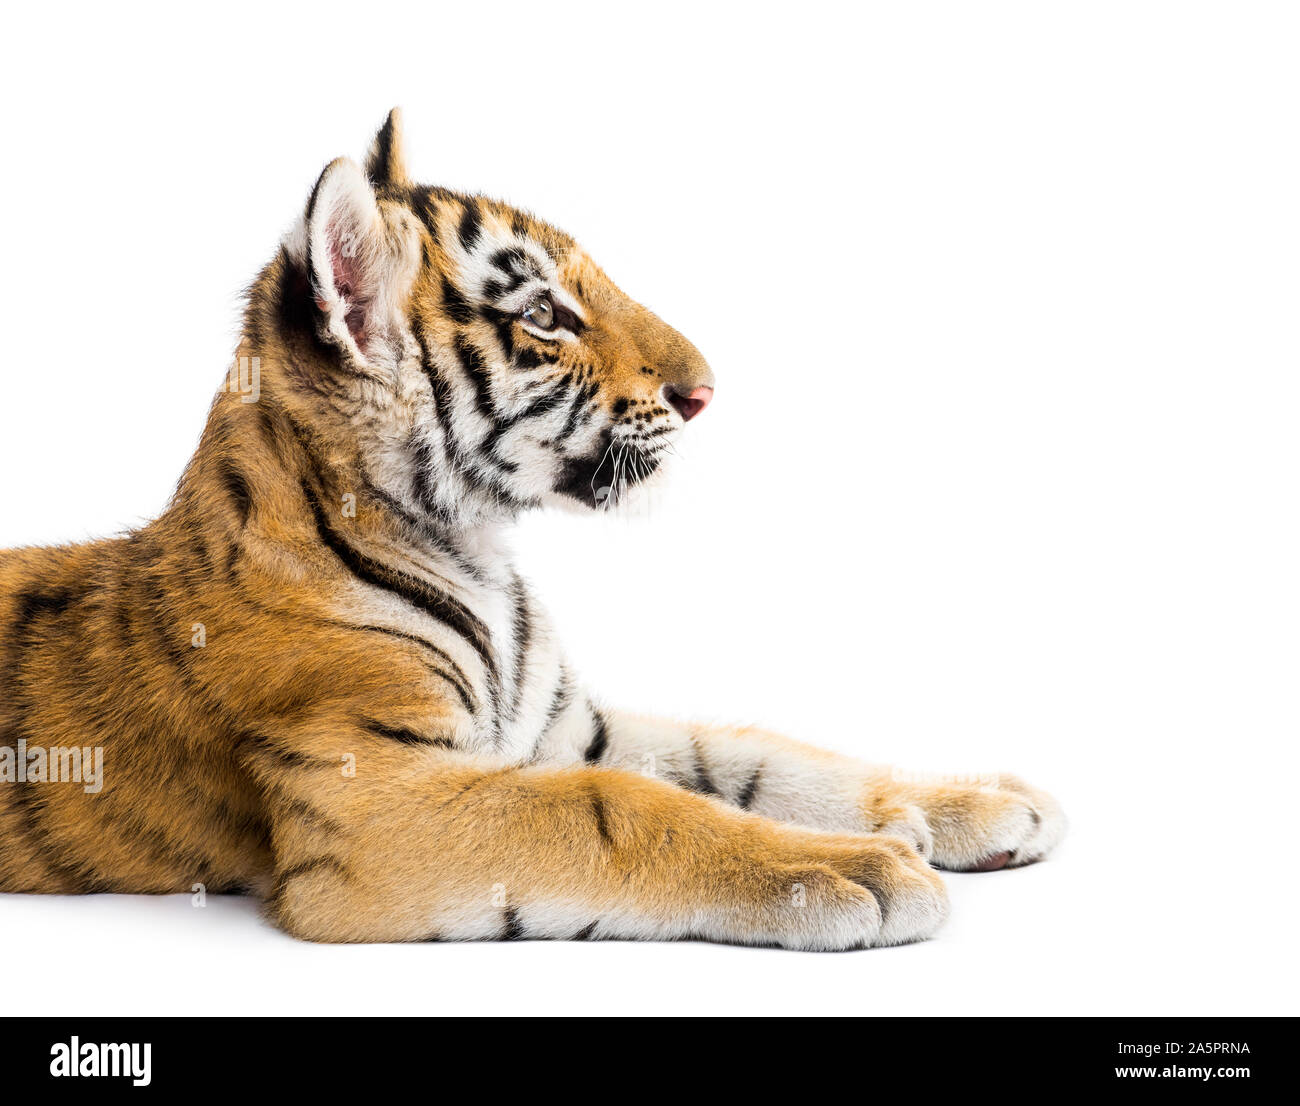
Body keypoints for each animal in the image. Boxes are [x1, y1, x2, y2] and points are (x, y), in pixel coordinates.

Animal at [0, 110, 1065, 949]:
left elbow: (748, 753)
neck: (473, 544)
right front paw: (866, 869)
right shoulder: (375, 797)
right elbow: (622, 809)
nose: (707, 390)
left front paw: (971, 805)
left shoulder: (567, 725)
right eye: (547, 315)